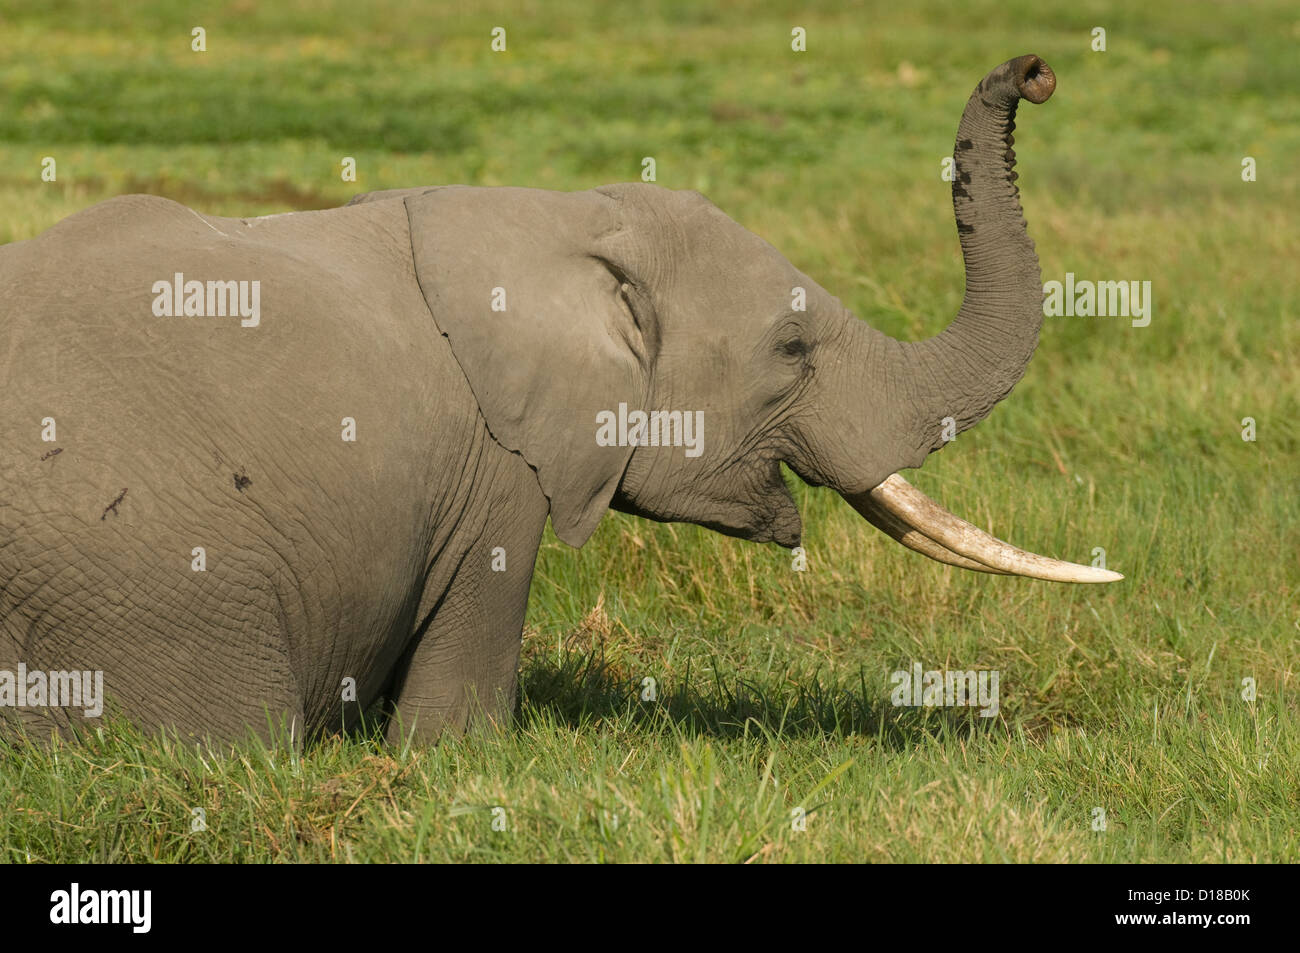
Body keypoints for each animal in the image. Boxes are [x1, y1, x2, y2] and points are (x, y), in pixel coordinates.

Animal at [0, 54, 1119, 745]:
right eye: (793, 348)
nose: (1036, 72)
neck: (556, 217)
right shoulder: (499, 468)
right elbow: (454, 710)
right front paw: (449, 758)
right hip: (155, 590)